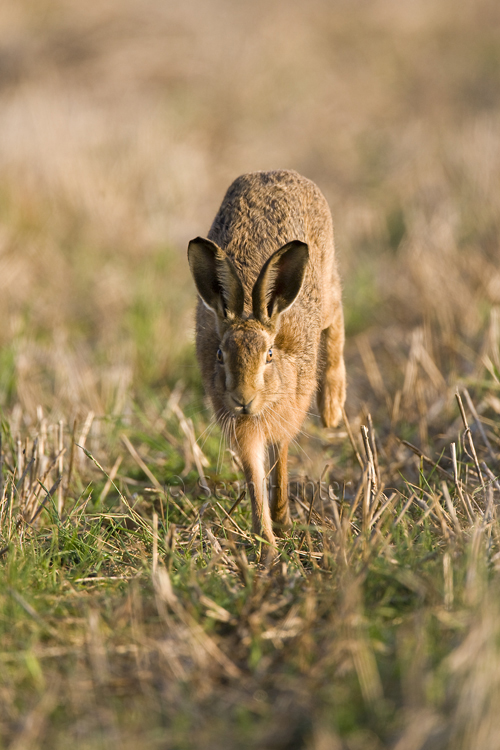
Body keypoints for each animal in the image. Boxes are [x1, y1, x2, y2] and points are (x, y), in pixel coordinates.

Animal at [188, 170, 345, 553]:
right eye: (220, 355)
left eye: (269, 355)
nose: (243, 399)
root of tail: (274, 173)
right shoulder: (243, 433)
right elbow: (254, 479)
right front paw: (268, 543)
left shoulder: (286, 413)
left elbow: (280, 462)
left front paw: (283, 521)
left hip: (326, 287)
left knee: (336, 319)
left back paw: (332, 408)